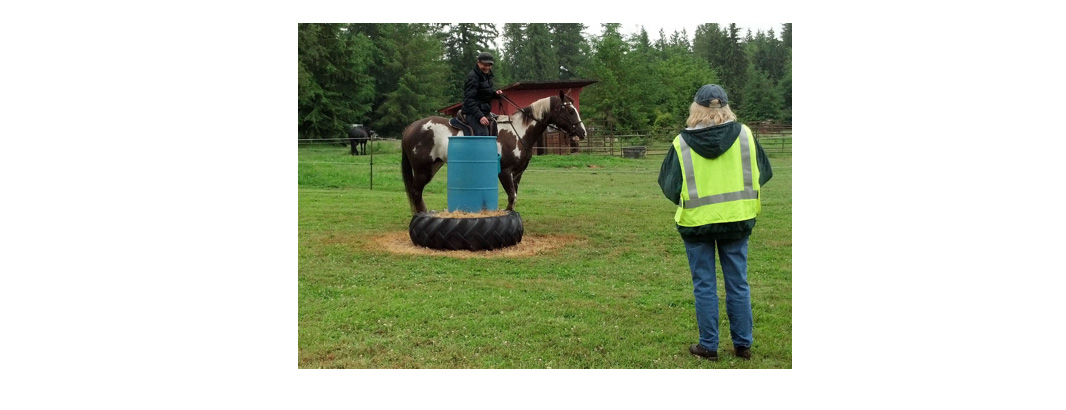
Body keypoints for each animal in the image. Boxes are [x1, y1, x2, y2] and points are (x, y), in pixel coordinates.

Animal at [400, 90, 587, 214]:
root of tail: (410, 128)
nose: (582, 132)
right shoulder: (504, 172)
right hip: (421, 170)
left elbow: (514, 197)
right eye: (570, 111)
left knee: (418, 192)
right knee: (416, 191)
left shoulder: (517, 174)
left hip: (432, 168)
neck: (518, 132)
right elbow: (512, 196)